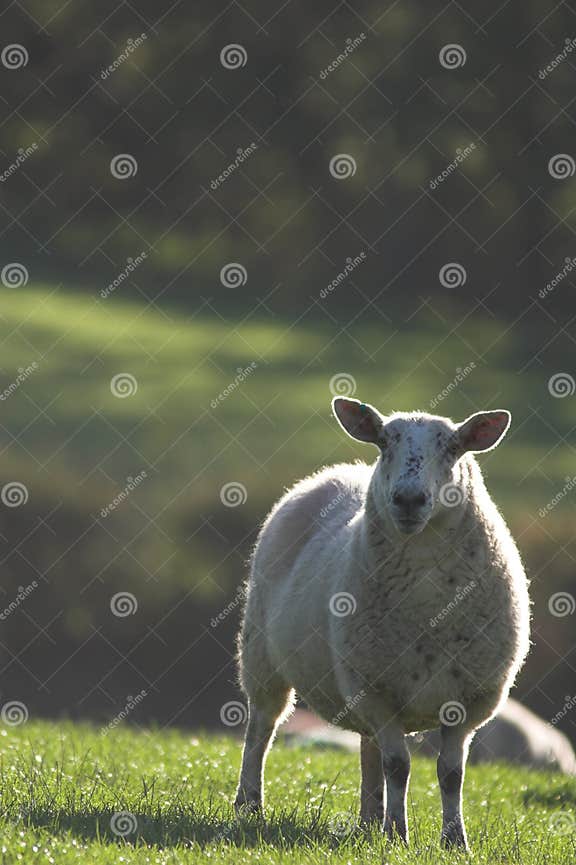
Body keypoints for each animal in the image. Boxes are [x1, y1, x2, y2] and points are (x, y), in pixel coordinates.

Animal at [235, 397, 531, 850]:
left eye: (453, 447)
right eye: (385, 443)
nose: (408, 499)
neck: (427, 604)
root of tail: (340, 470)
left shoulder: (466, 701)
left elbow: (450, 774)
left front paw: (453, 840)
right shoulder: (377, 691)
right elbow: (398, 766)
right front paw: (398, 836)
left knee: (366, 749)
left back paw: (368, 821)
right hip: (262, 658)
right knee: (260, 731)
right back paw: (250, 805)